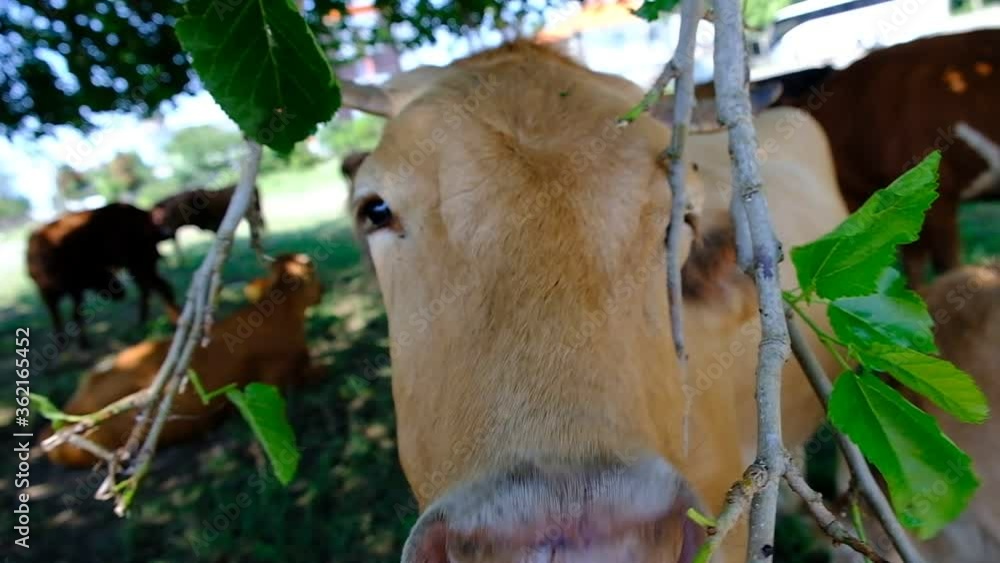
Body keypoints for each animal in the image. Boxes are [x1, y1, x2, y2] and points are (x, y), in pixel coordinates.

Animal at [26, 203, 179, 349]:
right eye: (104, 273)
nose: (121, 293)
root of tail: (144, 214)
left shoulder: (73, 288)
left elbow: (75, 314)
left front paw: (82, 344)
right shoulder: (51, 292)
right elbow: (59, 317)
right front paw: (62, 343)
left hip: (141, 264)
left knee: (161, 287)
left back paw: (173, 321)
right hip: (139, 266)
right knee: (149, 288)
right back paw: (143, 322)